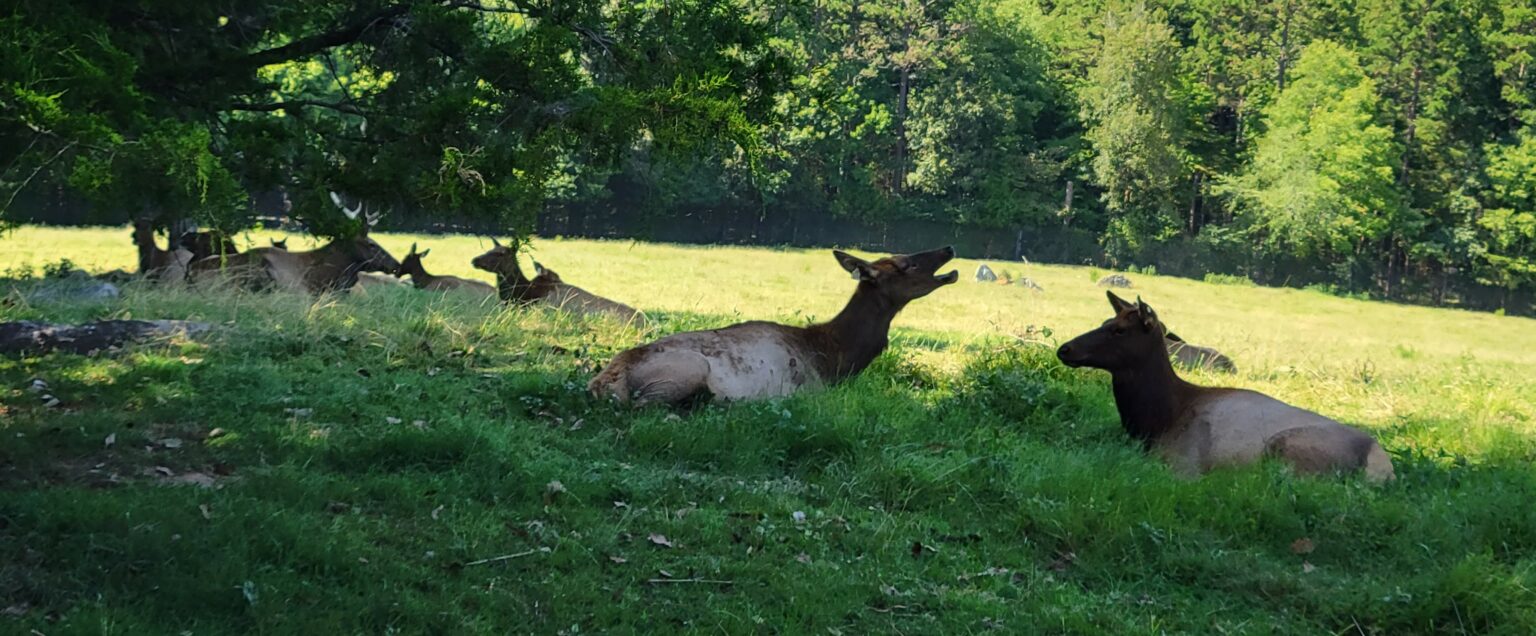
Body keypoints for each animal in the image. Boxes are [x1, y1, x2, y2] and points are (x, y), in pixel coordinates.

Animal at [588, 246, 959, 406]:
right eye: (907, 264)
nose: (948, 248)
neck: (835, 359)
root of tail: (600, 384)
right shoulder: (808, 392)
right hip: (686, 369)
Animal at [1056, 291, 1394, 482]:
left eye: (1119, 330)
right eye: (1104, 321)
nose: (1065, 348)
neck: (1154, 422)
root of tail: (1380, 461)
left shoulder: (1184, 462)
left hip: (1288, 449)